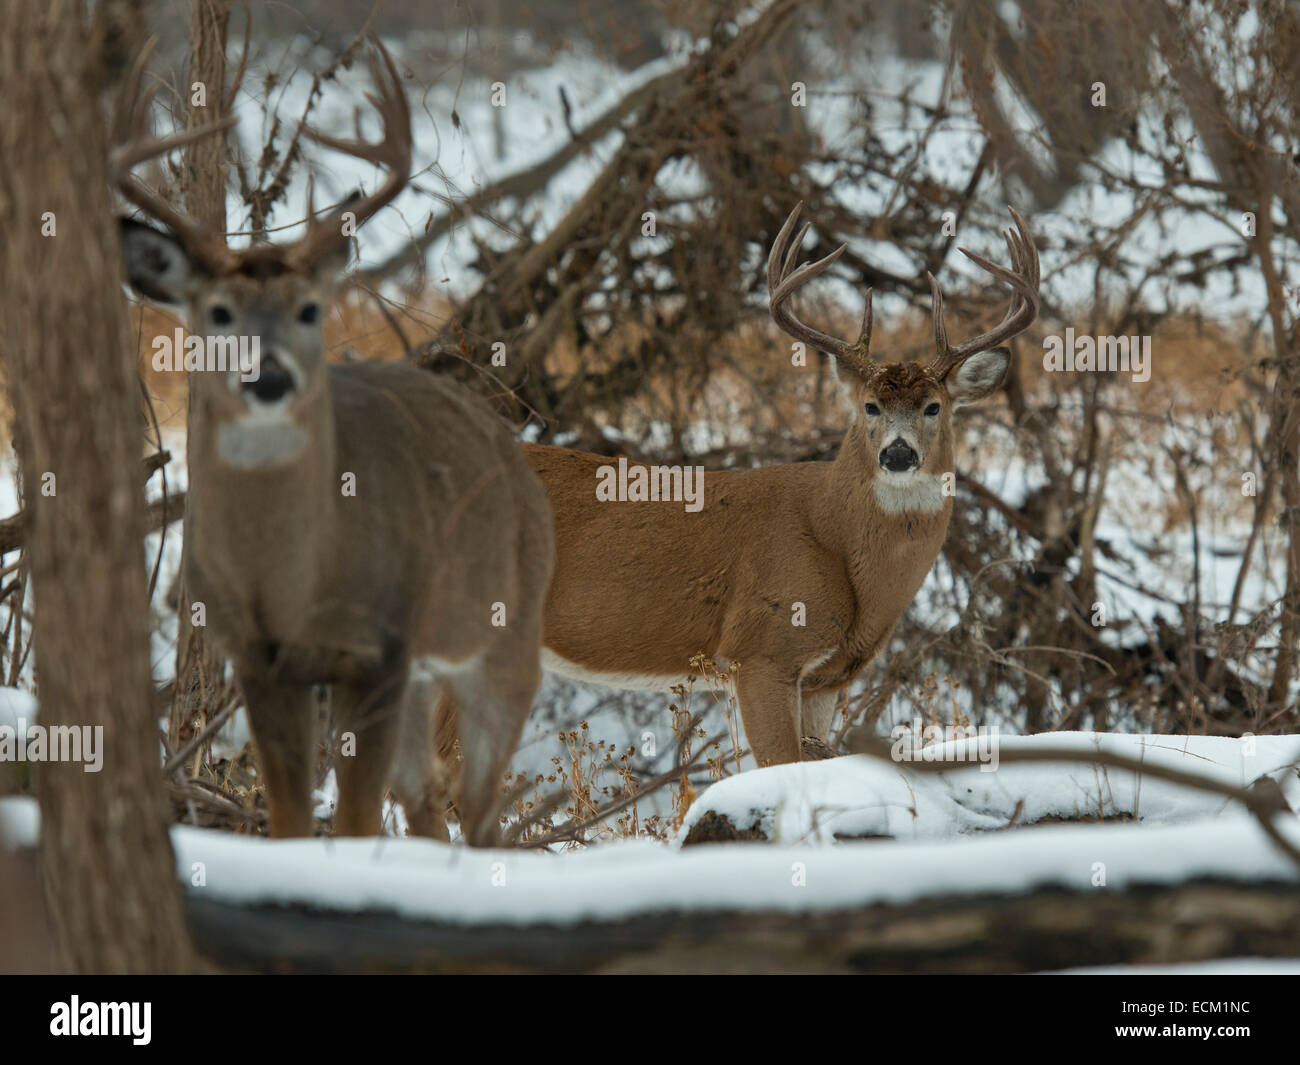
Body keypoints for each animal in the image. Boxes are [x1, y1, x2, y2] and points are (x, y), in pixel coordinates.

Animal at [113, 39, 554, 844]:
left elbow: (352, 819)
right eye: (217, 311)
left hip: (505, 630)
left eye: (310, 309)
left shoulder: (378, 647)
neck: (294, 581)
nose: (267, 376)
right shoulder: (258, 658)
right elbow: (292, 819)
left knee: (481, 807)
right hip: (424, 669)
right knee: (427, 796)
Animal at [518, 204, 1039, 768]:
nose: (898, 454)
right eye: (869, 406)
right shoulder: (760, 650)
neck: (836, 542)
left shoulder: (827, 680)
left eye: (934, 407)